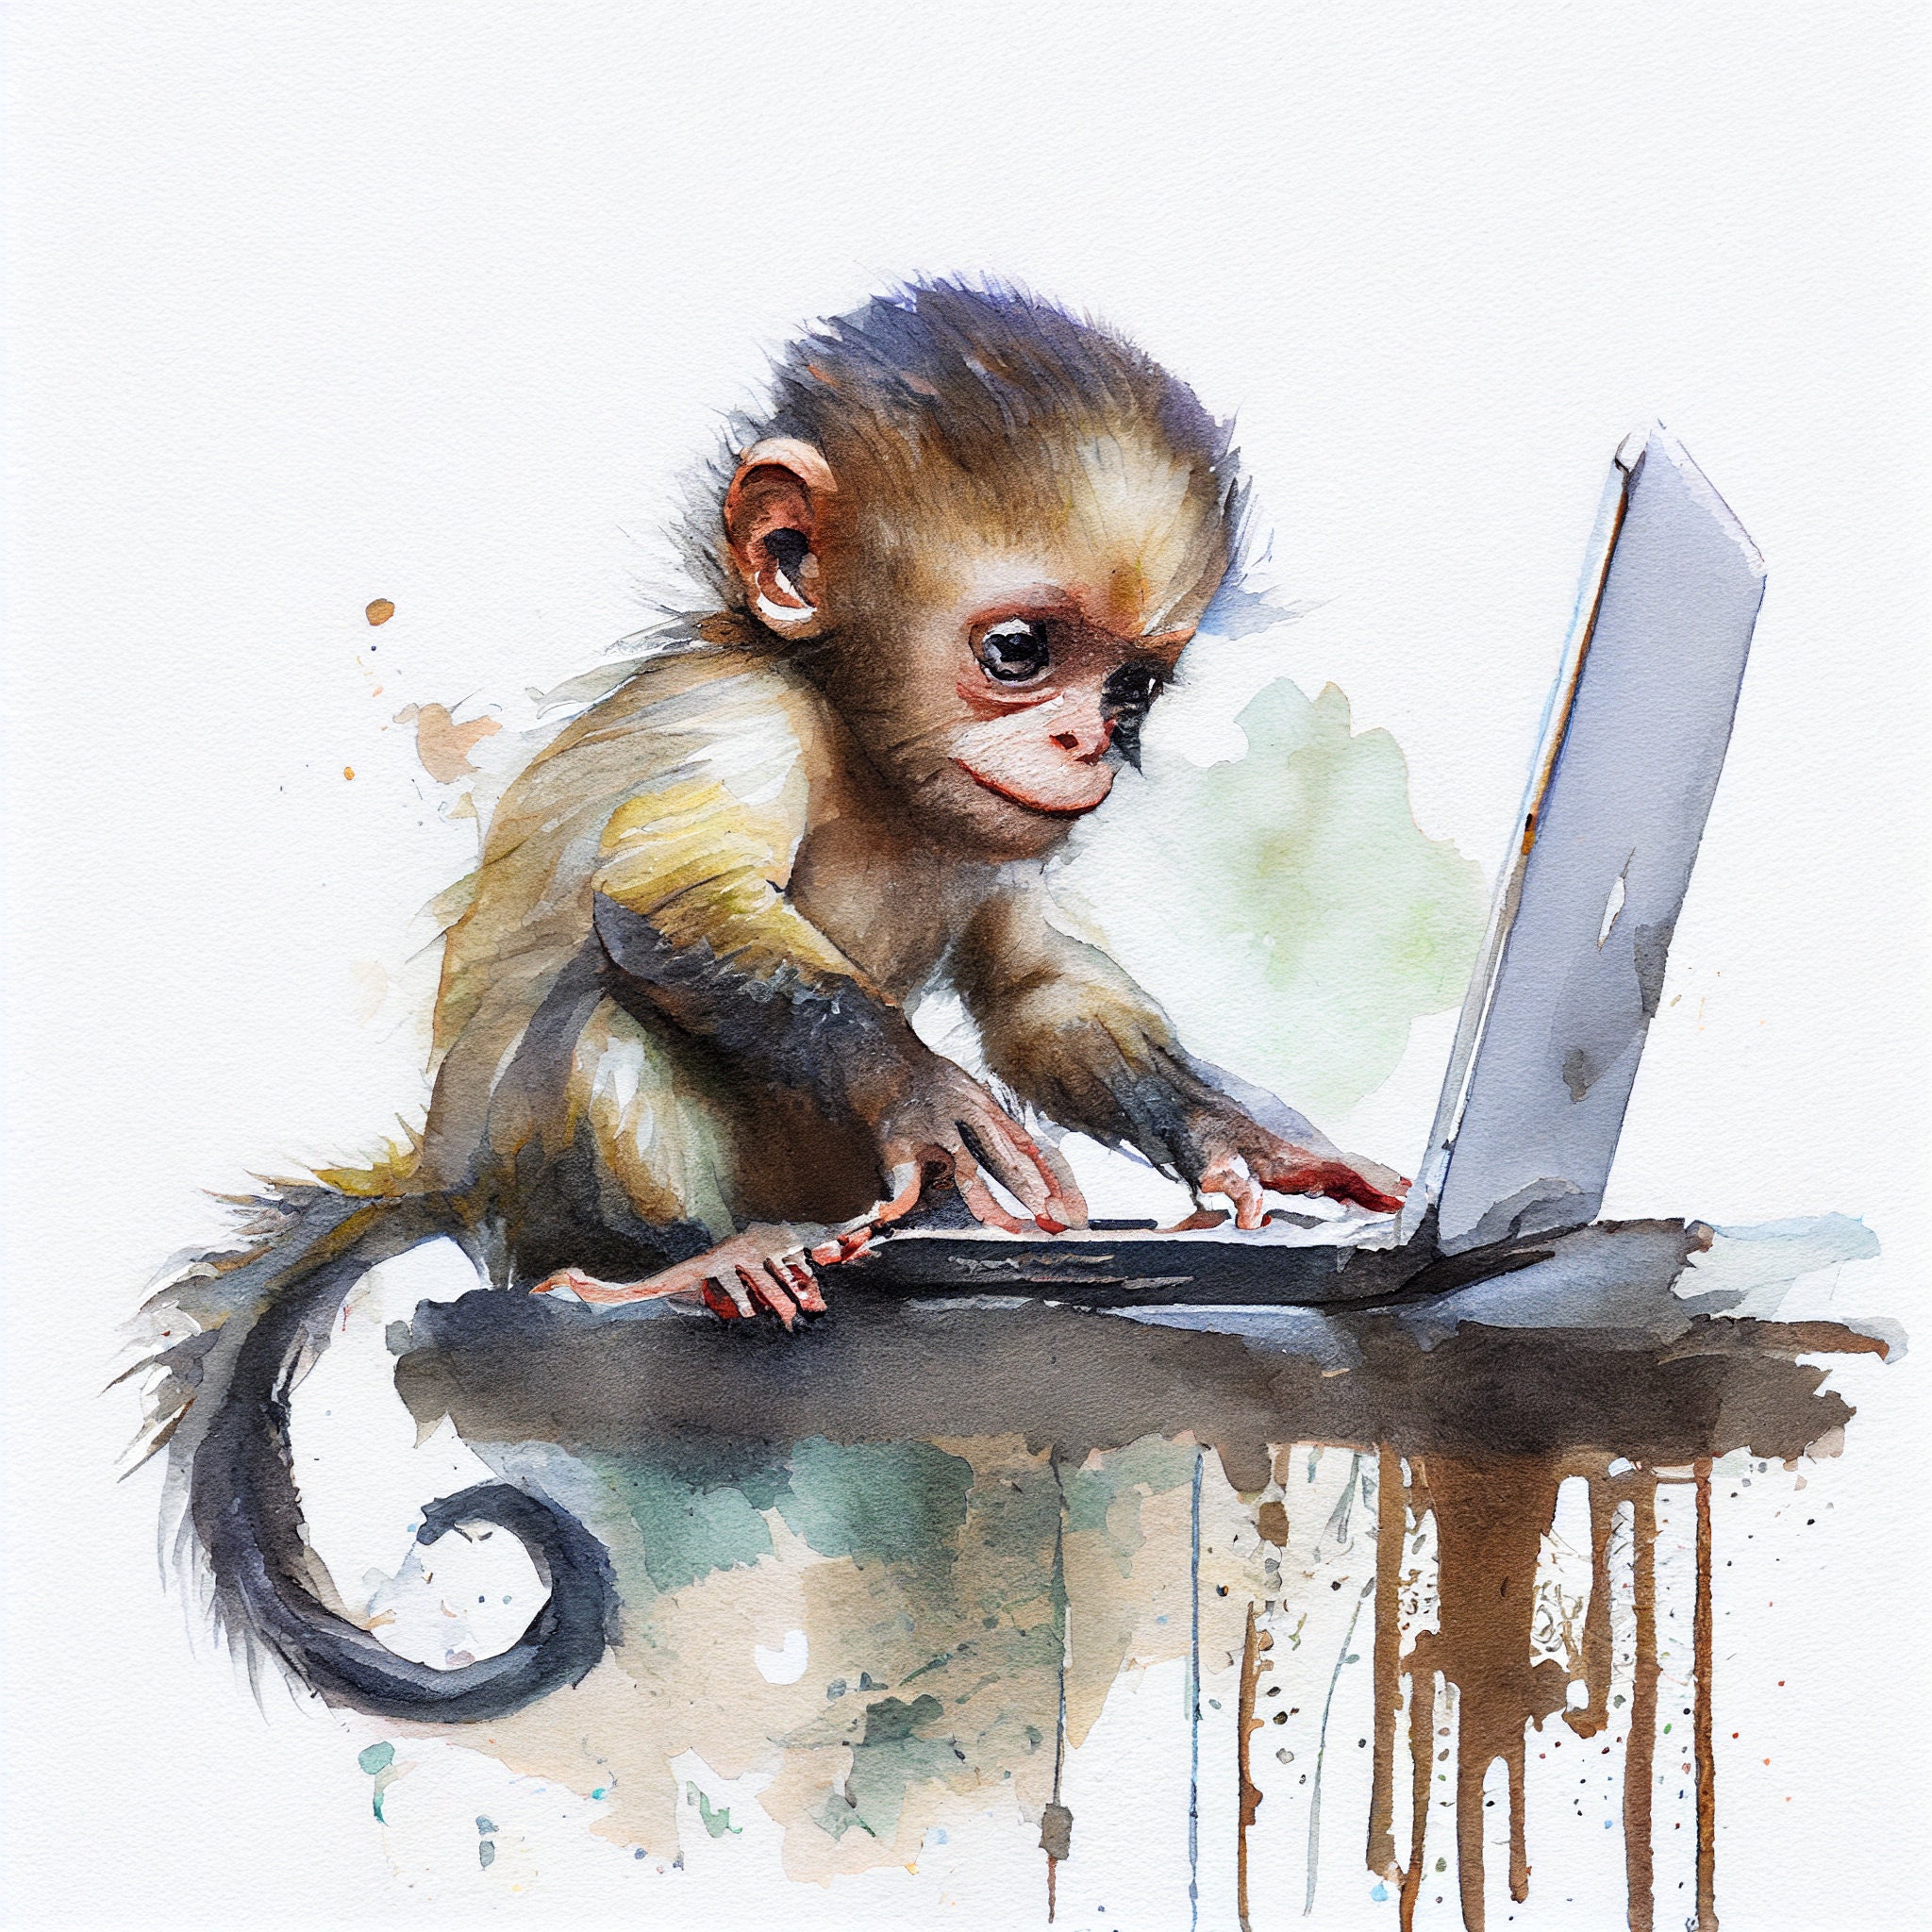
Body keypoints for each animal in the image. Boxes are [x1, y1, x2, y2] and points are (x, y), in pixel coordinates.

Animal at [134, 279, 1406, 1723]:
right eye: (1019, 652)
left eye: (1130, 687)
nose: (1086, 741)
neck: (859, 744)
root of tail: (449, 1176)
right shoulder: (735, 710)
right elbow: (665, 904)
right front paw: (931, 1100)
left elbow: (1037, 991)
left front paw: (1243, 1149)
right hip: (535, 1193)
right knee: (614, 1024)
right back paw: (654, 1270)